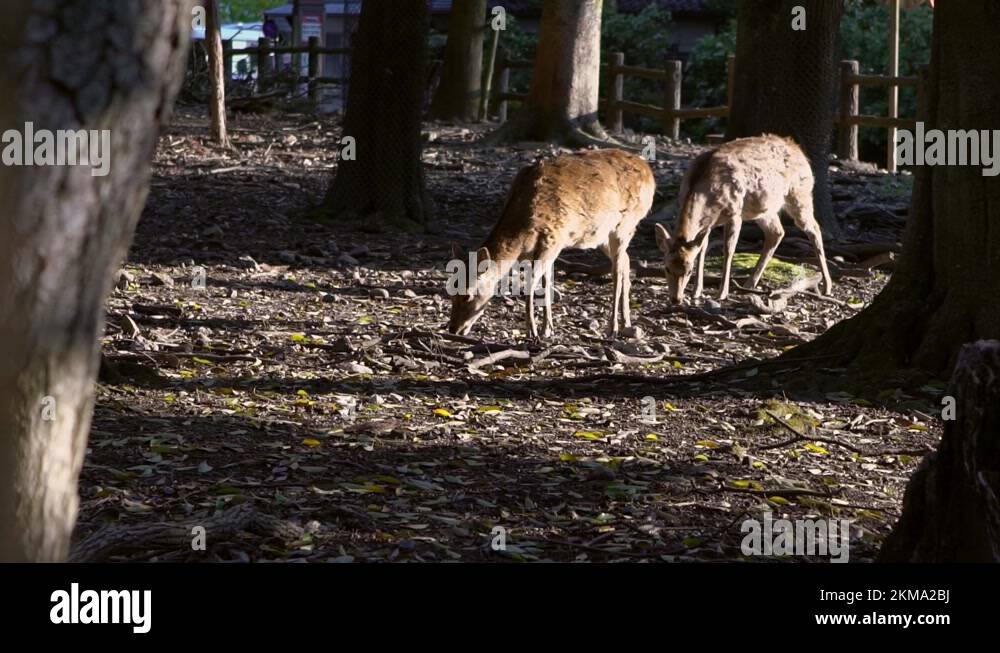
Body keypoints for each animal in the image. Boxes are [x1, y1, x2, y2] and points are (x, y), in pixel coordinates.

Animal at [447, 148, 656, 339]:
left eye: (467, 295)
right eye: (450, 292)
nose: (453, 329)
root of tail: (650, 174)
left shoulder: (553, 239)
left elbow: (531, 284)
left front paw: (532, 331)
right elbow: (547, 283)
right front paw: (547, 329)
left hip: (625, 224)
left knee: (617, 270)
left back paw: (612, 328)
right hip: (602, 235)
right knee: (626, 261)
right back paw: (626, 322)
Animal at [654, 134, 833, 304]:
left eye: (689, 270)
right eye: (666, 267)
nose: (676, 299)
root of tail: (799, 151)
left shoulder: (735, 213)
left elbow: (728, 250)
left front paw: (721, 293)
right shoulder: (707, 223)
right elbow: (702, 249)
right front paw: (696, 291)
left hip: (800, 195)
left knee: (814, 228)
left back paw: (827, 286)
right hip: (764, 209)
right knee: (777, 232)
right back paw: (749, 284)